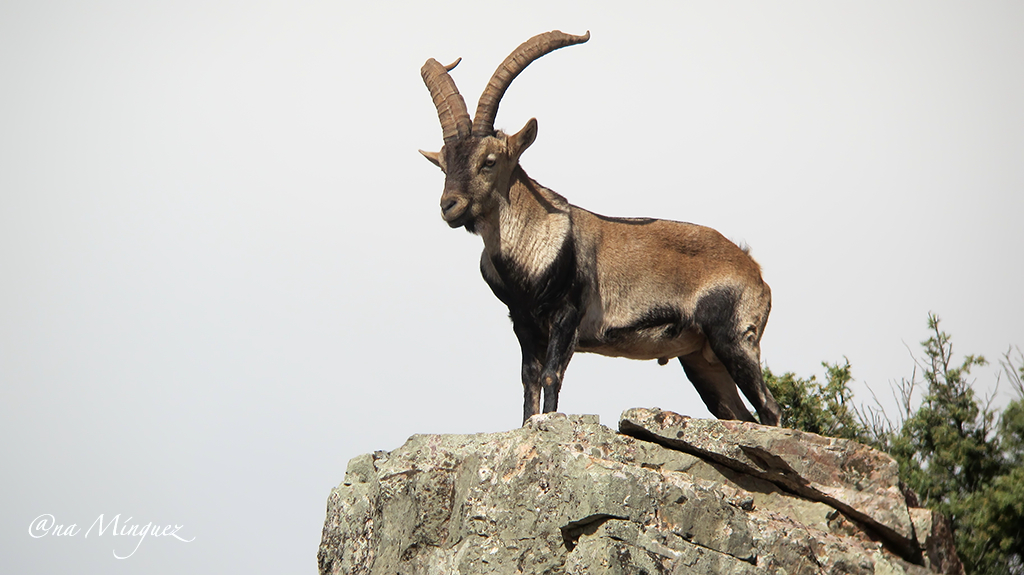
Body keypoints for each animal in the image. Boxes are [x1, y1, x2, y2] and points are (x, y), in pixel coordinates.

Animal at [419, 31, 781, 426]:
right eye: (444, 165)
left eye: (489, 161)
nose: (449, 206)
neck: (533, 246)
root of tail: (755, 273)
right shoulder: (523, 323)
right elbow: (529, 380)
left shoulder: (567, 314)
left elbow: (551, 375)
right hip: (701, 359)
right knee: (738, 414)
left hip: (735, 337)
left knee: (769, 408)